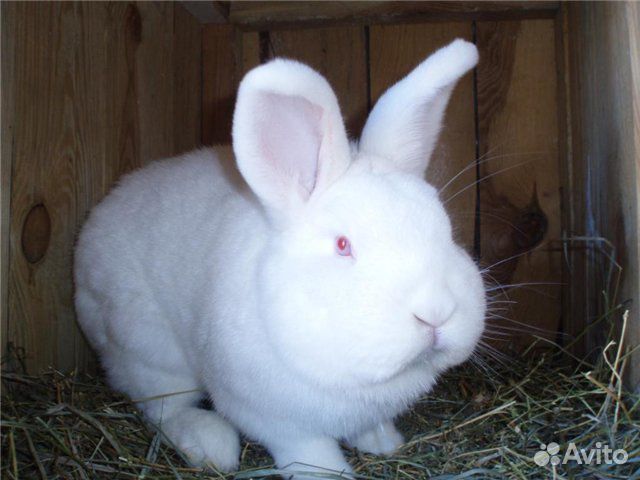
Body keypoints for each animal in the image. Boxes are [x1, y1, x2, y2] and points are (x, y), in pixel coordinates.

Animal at [74, 38, 485, 478]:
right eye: (343, 245)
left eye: (445, 227)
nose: (436, 312)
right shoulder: (274, 418)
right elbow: (308, 449)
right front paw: (329, 473)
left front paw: (384, 442)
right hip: (149, 350)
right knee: (163, 406)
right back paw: (211, 446)